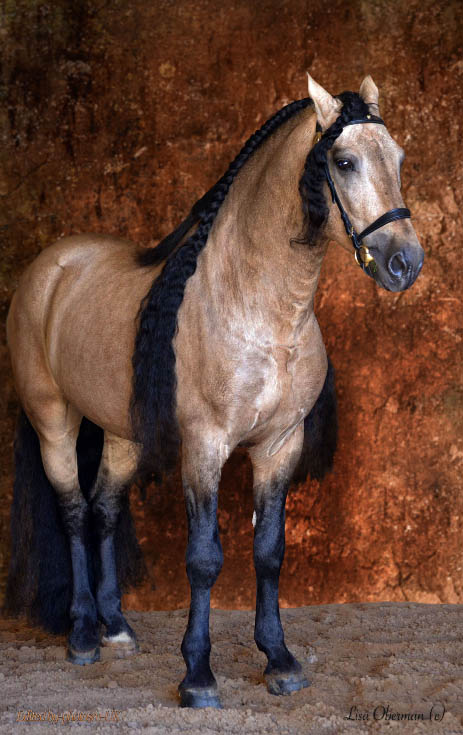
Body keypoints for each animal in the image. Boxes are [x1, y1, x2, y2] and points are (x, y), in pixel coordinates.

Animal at [5, 74, 424, 709]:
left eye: (397, 158)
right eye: (344, 161)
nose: (405, 263)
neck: (261, 310)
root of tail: (50, 268)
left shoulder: (279, 446)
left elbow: (269, 552)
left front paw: (279, 661)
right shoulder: (204, 448)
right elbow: (204, 559)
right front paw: (198, 676)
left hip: (122, 435)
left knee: (104, 509)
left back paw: (116, 628)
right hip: (54, 419)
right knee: (74, 512)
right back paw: (81, 635)